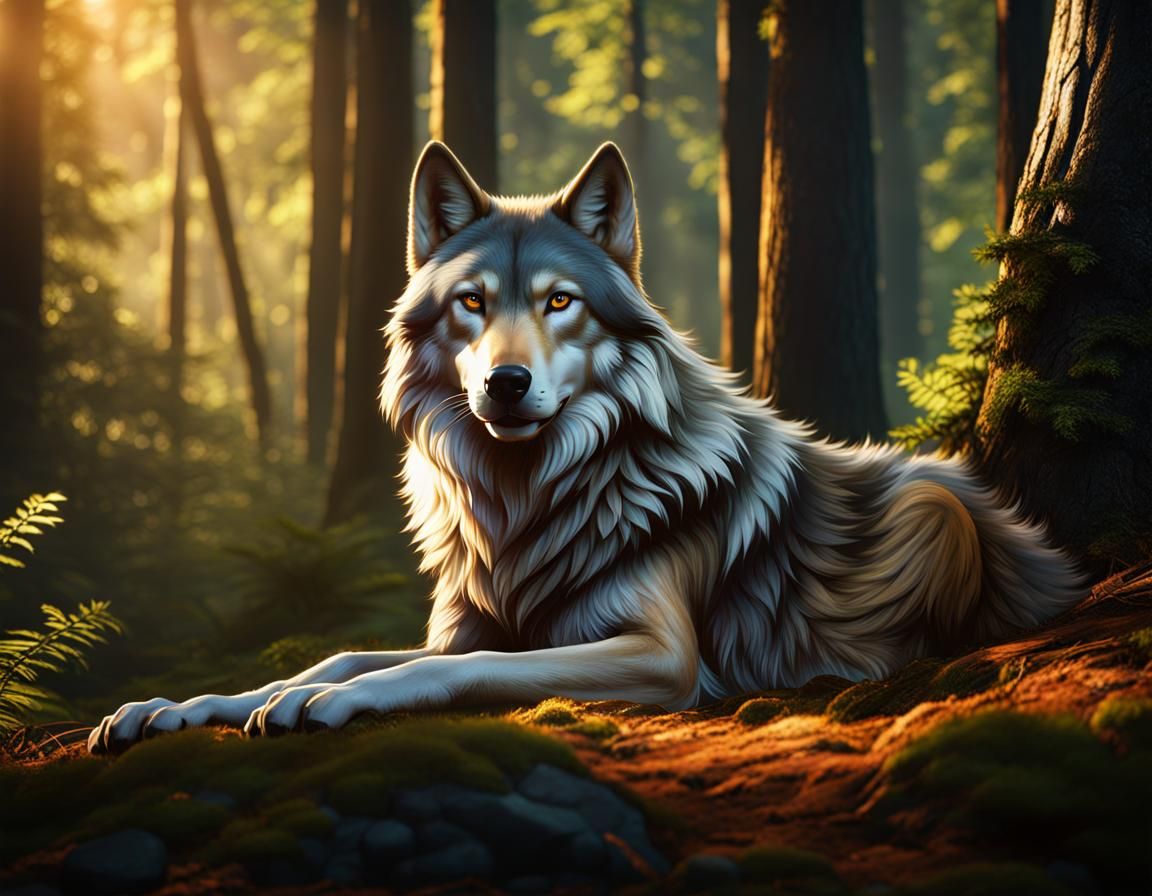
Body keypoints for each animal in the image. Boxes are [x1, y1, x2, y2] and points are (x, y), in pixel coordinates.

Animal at [90, 142, 1084, 751]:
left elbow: (469, 669)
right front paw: (187, 706)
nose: (505, 383)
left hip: (933, 504)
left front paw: (328, 705)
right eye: (474, 304)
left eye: (559, 301)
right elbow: (340, 655)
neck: (526, 501)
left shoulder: (658, 653)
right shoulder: (467, 623)